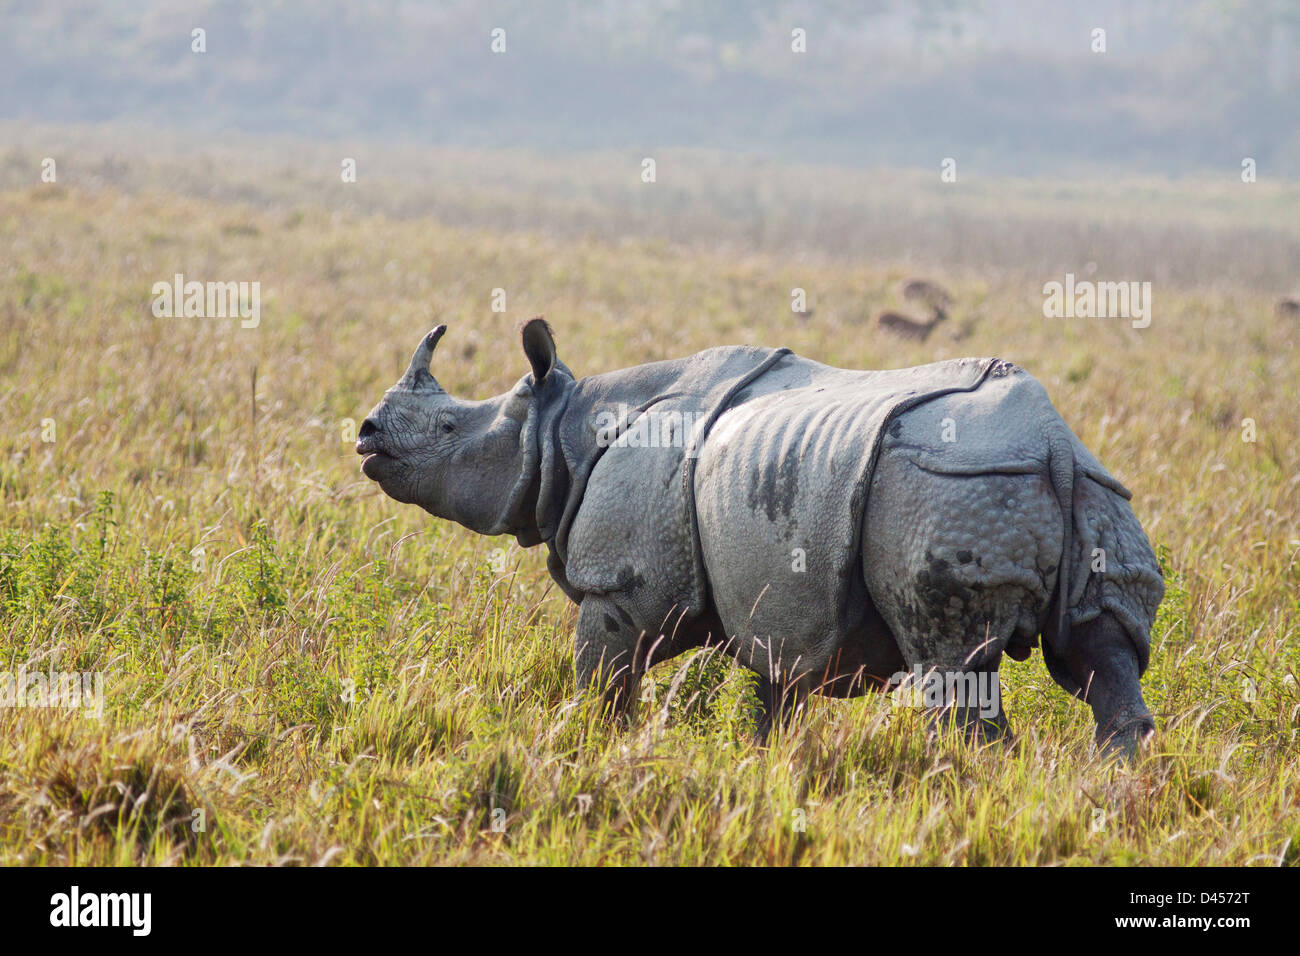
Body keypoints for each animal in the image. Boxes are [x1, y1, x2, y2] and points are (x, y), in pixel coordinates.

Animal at [357, 319, 1164, 756]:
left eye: (449, 427)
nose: (365, 435)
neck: (566, 427)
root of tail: (1053, 443)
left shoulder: (620, 586)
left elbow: (602, 685)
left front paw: (589, 749)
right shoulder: (783, 606)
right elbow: (775, 703)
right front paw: (765, 771)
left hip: (951, 488)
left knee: (951, 670)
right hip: (1096, 495)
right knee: (1102, 659)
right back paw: (1112, 795)